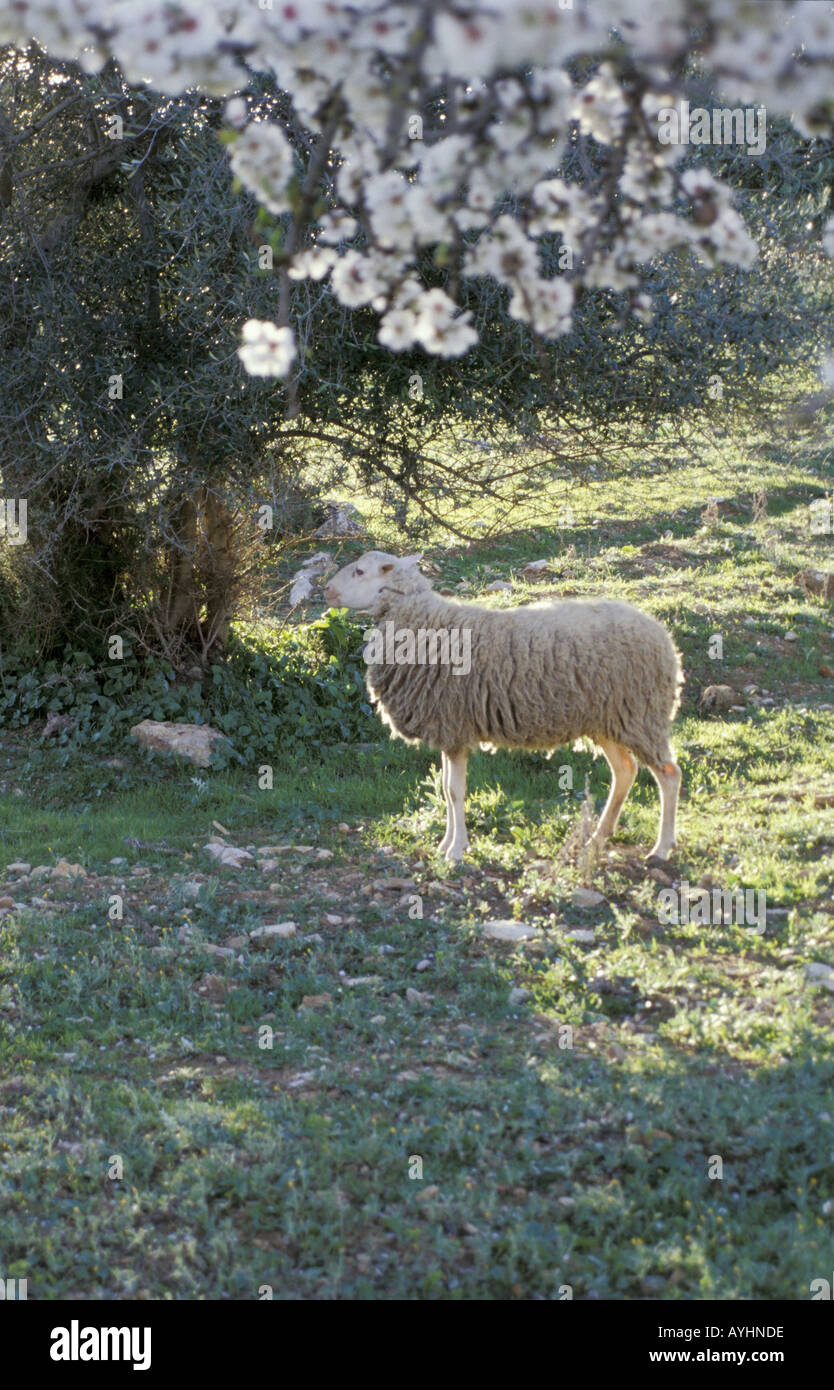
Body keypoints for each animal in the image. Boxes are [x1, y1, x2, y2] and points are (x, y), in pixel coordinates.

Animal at [324, 551, 683, 864]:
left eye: (359, 572)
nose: (326, 590)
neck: (424, 625)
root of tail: (663, 635)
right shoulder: (449, 730)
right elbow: (446, 789)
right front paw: (445, 844)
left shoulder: (454, 726)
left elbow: (454, 791)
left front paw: (456, 850)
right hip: (608, 719)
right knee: (625, 771)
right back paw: (597, 839)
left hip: (641, 715)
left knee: (669, 775)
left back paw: (662, 848)